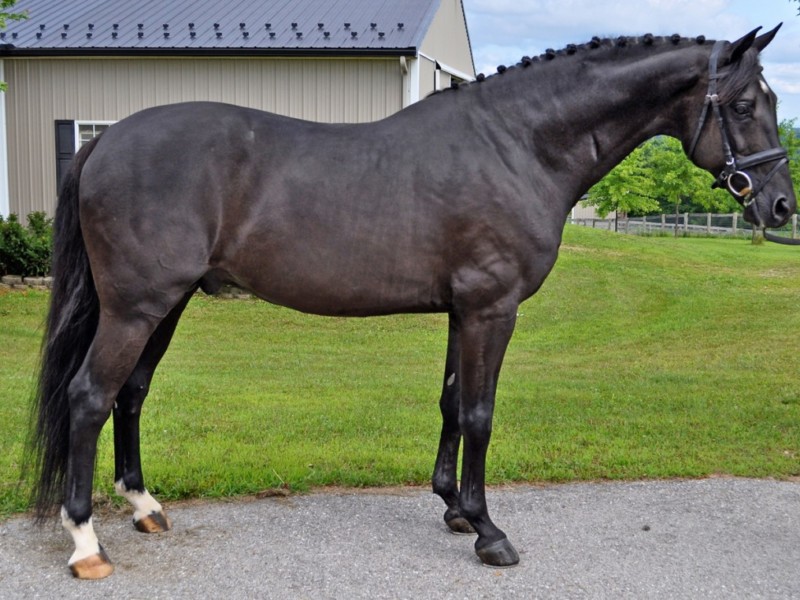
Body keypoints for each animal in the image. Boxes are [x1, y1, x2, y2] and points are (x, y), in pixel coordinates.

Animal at [28, 25, 795, 579]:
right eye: (746, 106)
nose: (781, 206)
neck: (518, 145)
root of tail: (104, 142)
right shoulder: (492, 308)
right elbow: (481, 414)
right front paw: (489, 532)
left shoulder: (463, 310)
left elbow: (453, 404)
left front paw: (453, 508)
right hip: (137, 305)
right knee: (91, 396)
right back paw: (86, 544)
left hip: (167, 302)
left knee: (130, 394)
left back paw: (144, 507)